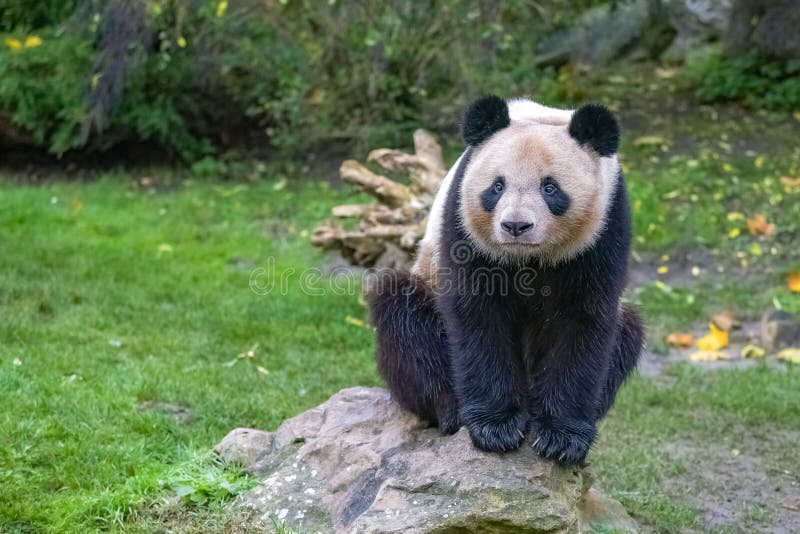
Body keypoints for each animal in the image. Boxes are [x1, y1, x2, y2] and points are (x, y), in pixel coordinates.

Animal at [368, 95, 644, 466]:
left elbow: (583, 319)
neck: (528, 257)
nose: (516, 226)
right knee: (404, 319)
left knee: (626, 332)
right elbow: (478, 314)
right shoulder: (463, 224)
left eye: (550, 187)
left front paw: (561, 438)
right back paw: (450, 410)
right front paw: (495, 427)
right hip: (424, 282)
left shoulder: (606, 226)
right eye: (497, 186)